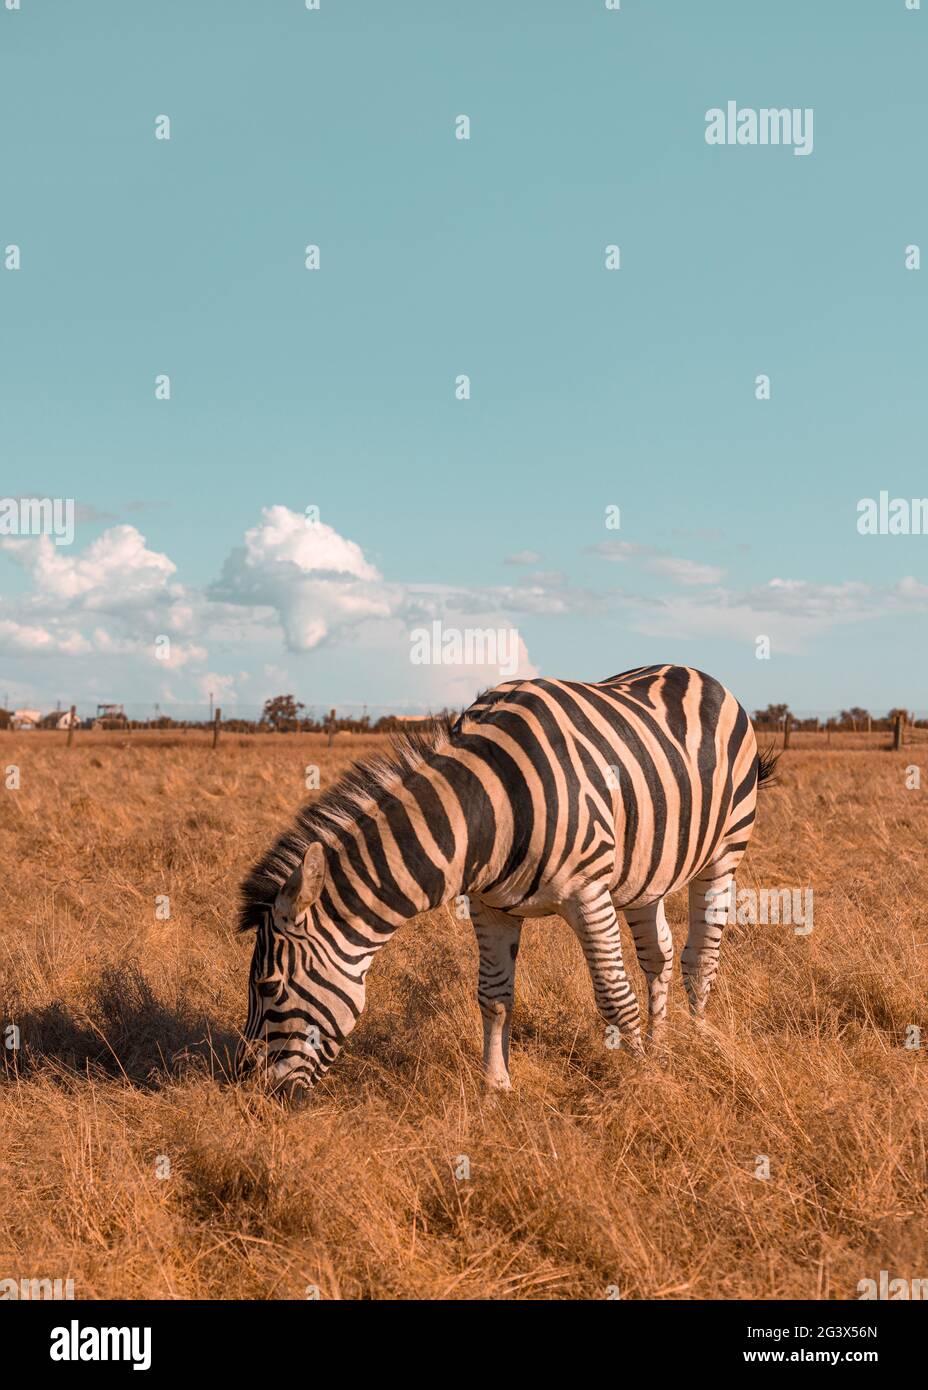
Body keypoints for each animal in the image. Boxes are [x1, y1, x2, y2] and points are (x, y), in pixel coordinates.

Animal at [236, 664, 776, 1096]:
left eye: (268, 984)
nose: (246, 1087)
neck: (487, 810)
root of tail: (693, 672)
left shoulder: (588, 896)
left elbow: (614, 998)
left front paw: (644, 1083)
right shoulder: (489, 905)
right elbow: (493, 996)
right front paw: (496, 1086)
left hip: (724, 851)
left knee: (699, 959)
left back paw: (696, 1041)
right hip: (646, 872)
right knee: (658, 954)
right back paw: (662, 1043)